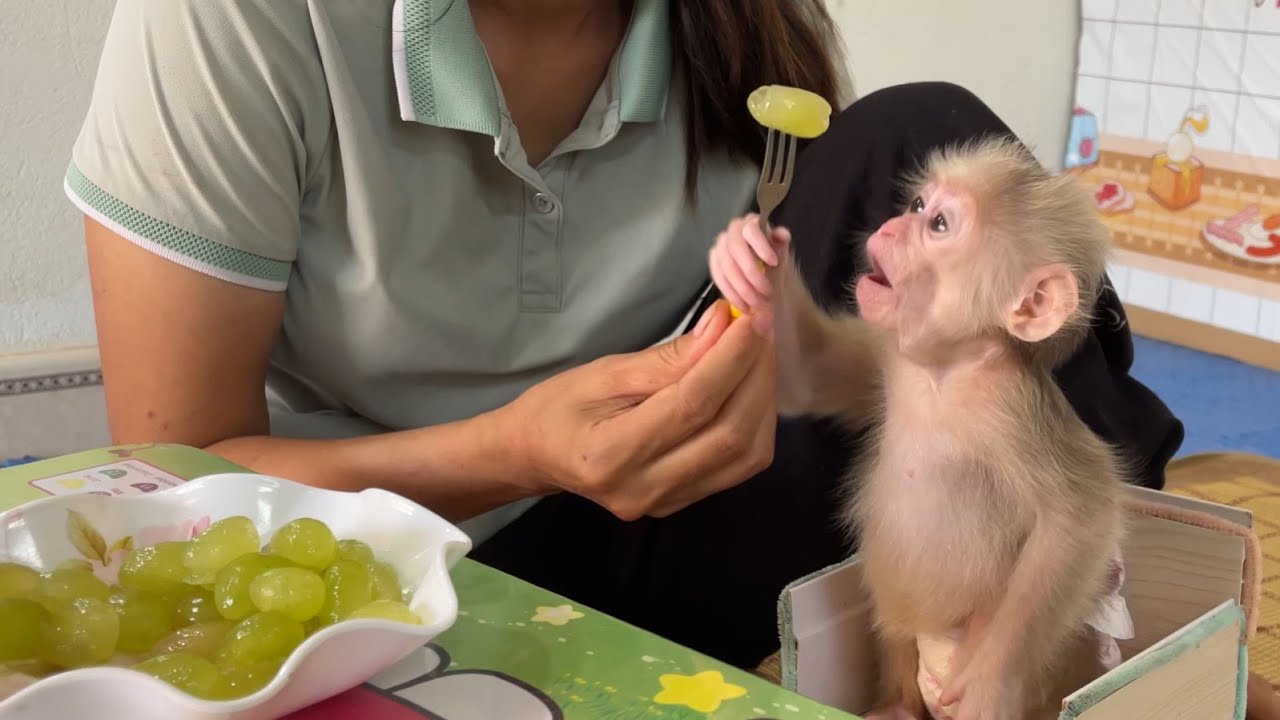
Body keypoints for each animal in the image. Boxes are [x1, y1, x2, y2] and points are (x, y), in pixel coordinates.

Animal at [709, 134, 1133, 720]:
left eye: (939, 225)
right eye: (916, 205)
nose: (890, 228)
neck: (945, 372)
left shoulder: (1013, 408)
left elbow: (1082, 517)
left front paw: (990, 677)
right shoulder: (888, 353)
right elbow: (807, 376)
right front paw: (749, 256)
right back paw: (897, 707)